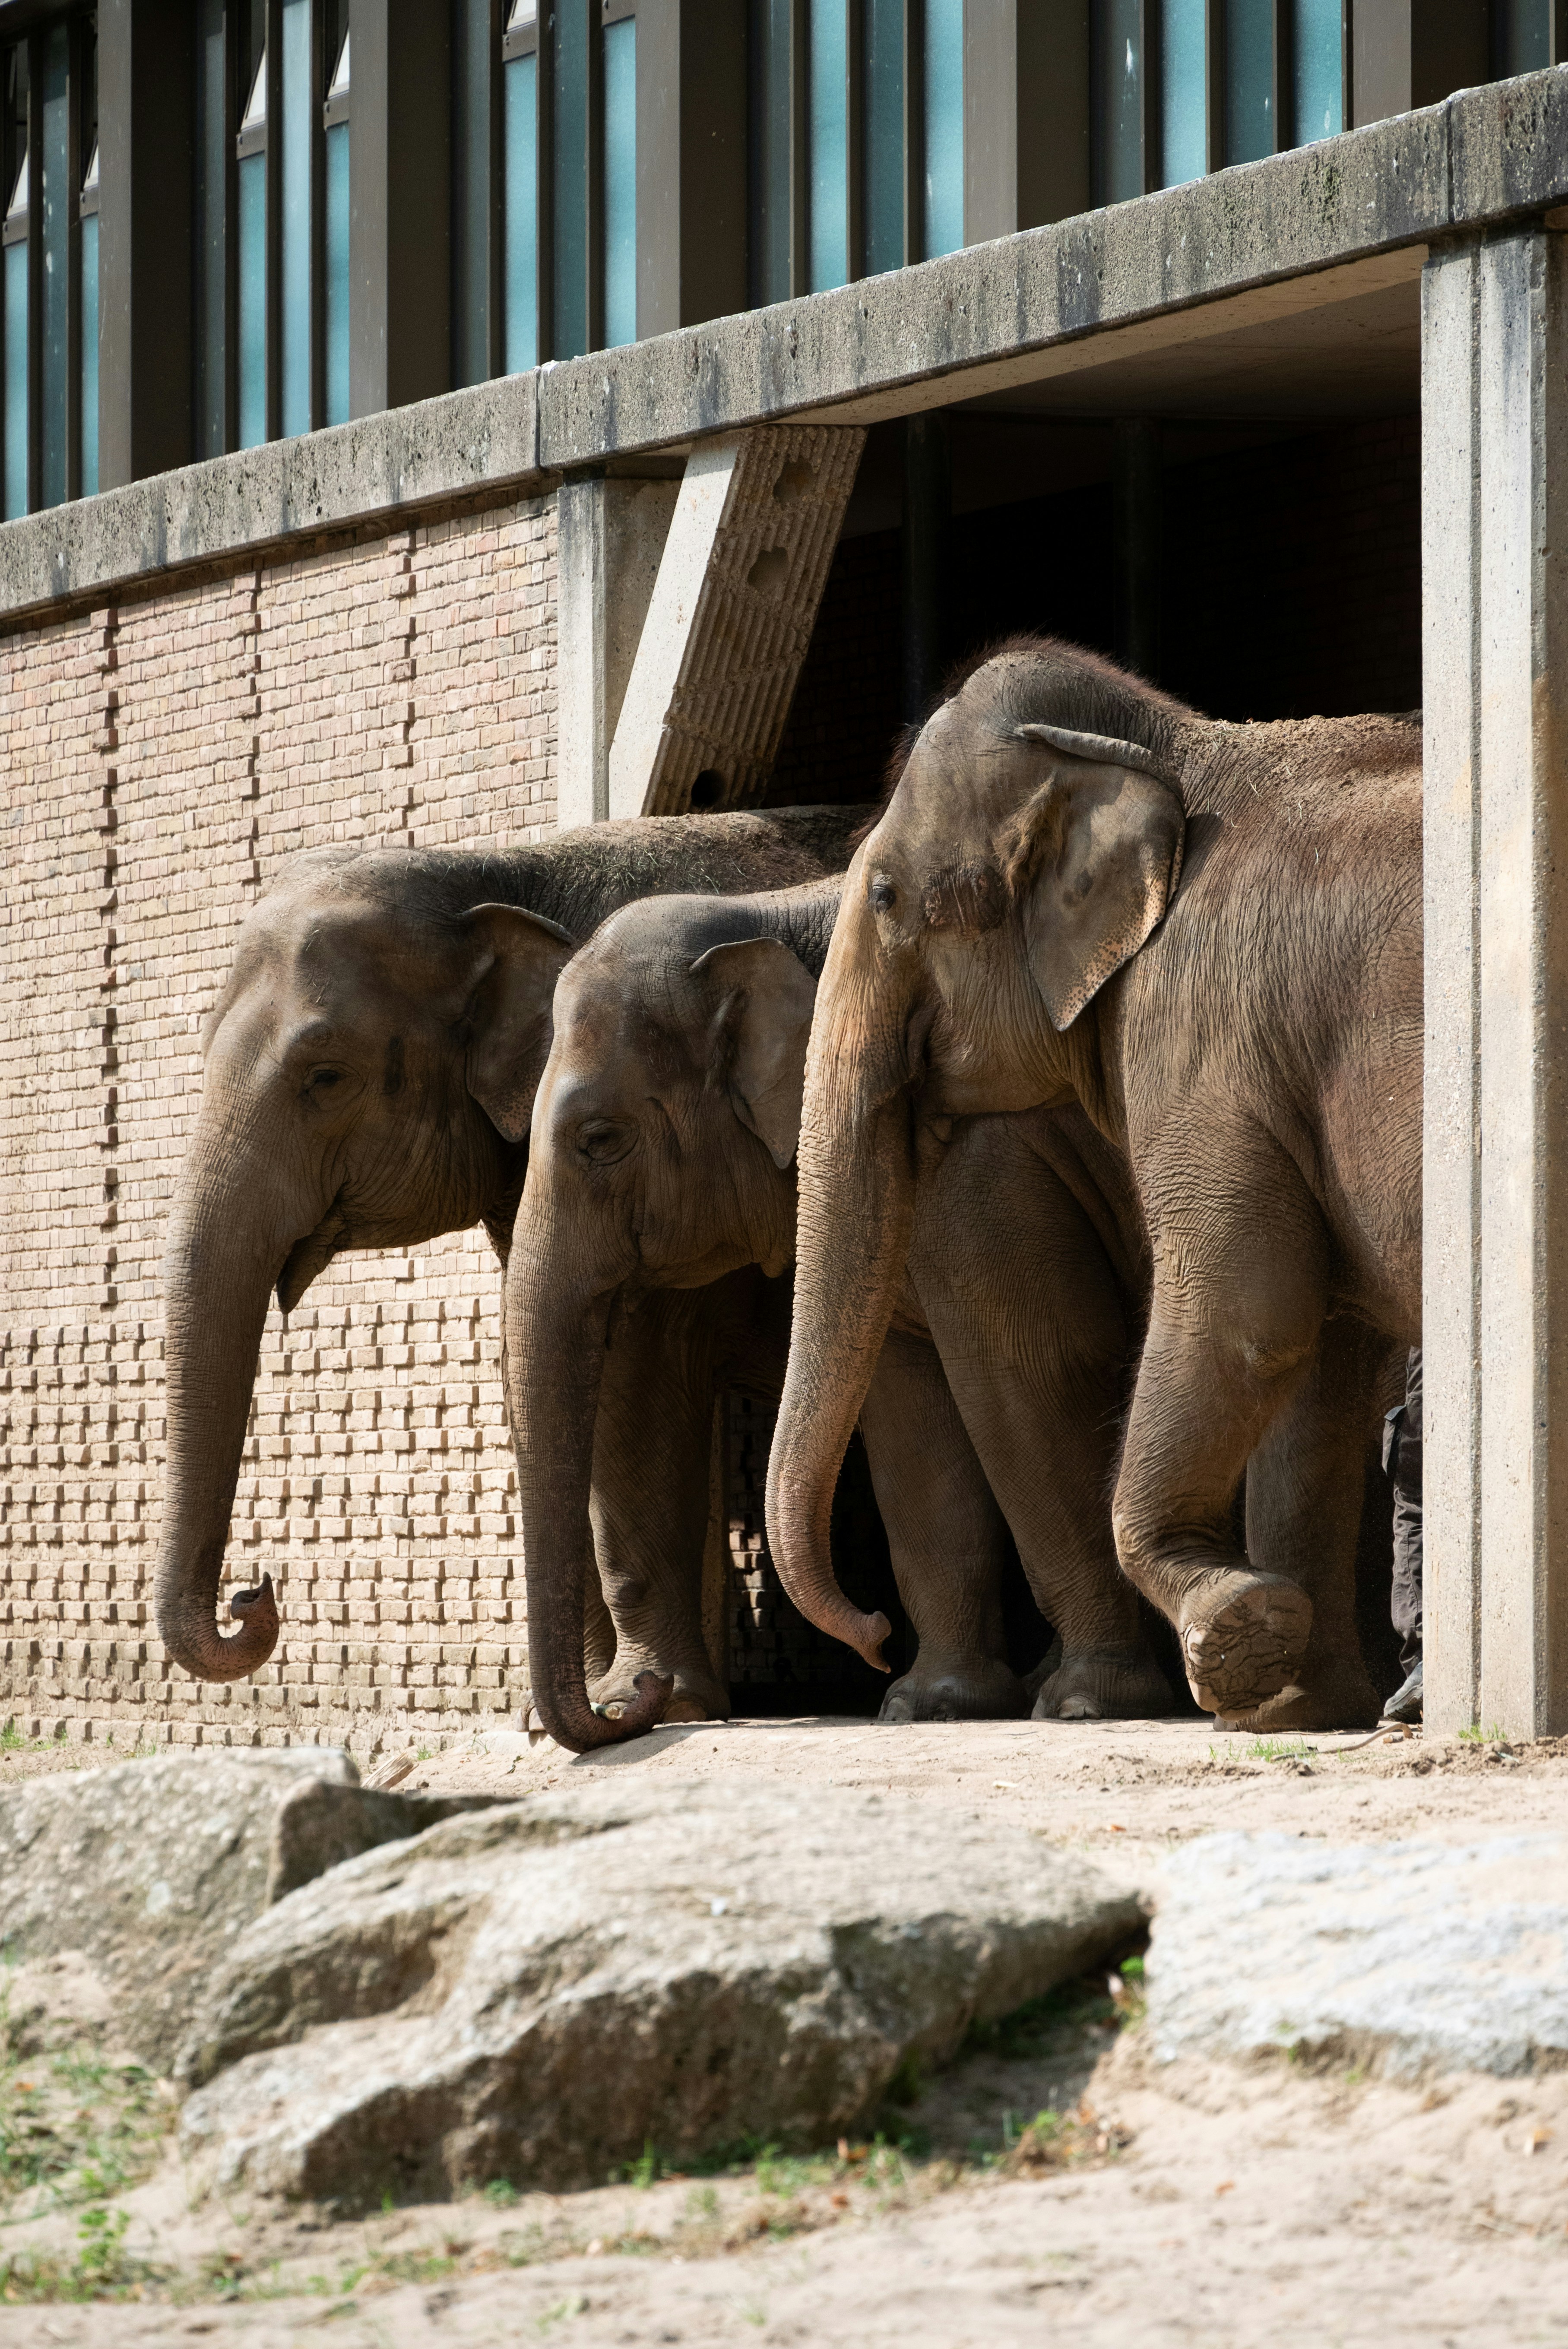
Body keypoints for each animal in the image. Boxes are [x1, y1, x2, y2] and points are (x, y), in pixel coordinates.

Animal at [155, 804, 871, 1688]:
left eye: (325, 1077)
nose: (254, 1593)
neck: (493, 873)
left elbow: (633, 1365)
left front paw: (650, 1698)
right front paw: (615, 1691)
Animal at [502, 871, 1174, 1753]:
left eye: (600, 1139)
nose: (877, 1634)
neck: (775, 910)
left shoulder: (987, 1155)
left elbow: (1037, 1368)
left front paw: (1088, 1701)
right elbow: (908, 1416)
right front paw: (931, 1704)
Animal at [764, 637, 1420, 1732]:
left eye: (887, 897)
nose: (872, 1637)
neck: (1169, 747)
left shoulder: (1202, 1031)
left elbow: (1246, 1304)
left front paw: (1233, 1635)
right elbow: (1320, 1350)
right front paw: (1292, 1705)